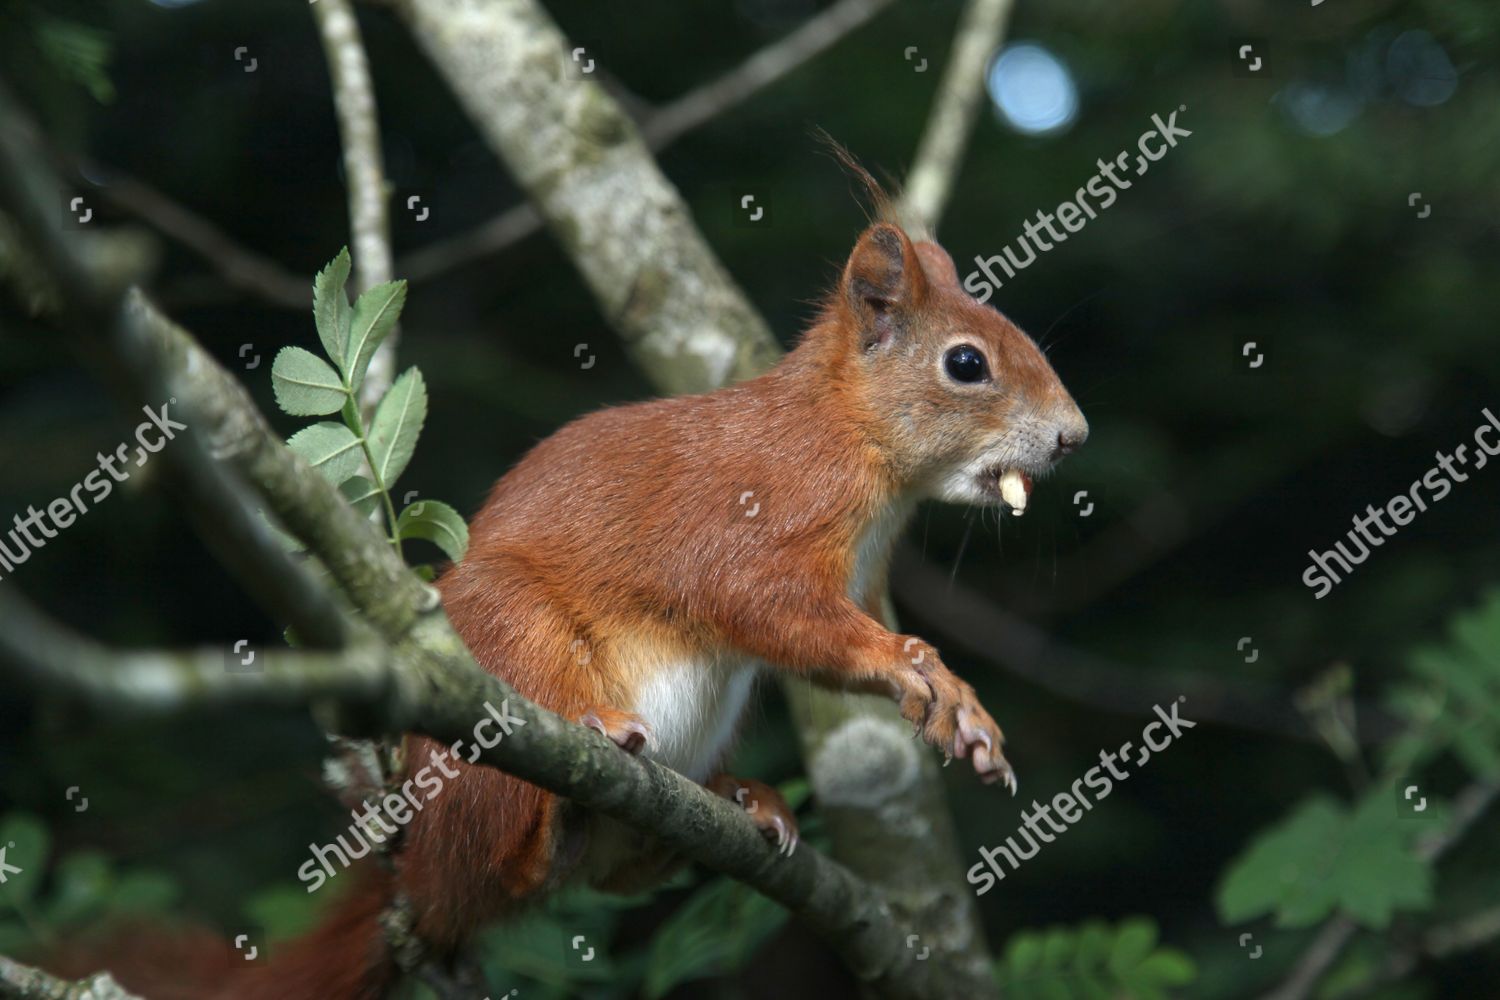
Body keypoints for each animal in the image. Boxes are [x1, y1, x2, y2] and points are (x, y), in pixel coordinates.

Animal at [47, 188, 1086, 1000]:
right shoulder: (757, 517)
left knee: (610, 880)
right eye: (966, 363)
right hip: (515, 651)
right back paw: (562, 806)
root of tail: (416, 878)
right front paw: (923, 672)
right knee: (504, 851)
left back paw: (738, 800)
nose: (1073, 436)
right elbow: (766, 609)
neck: (851, 436)